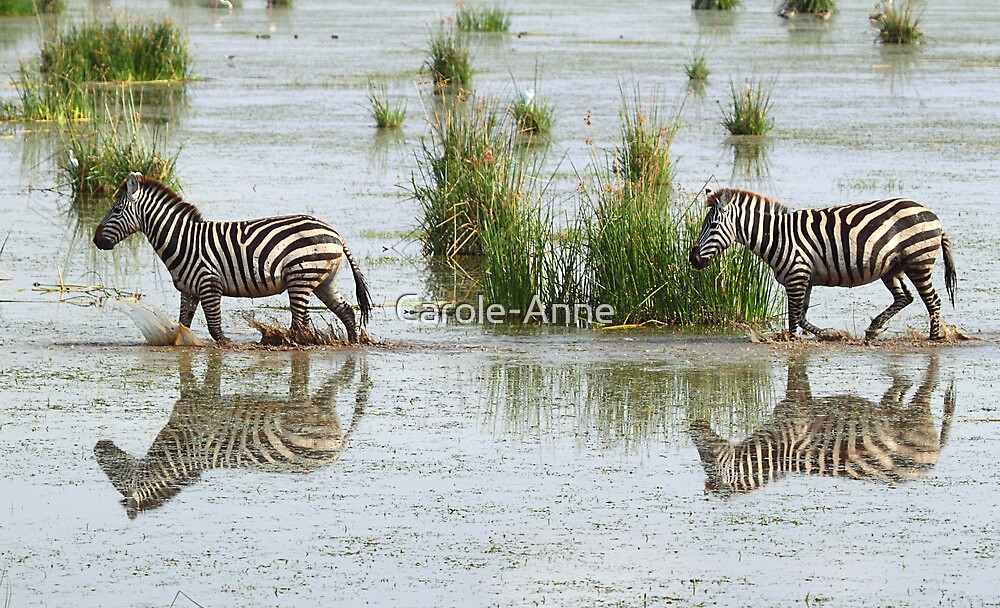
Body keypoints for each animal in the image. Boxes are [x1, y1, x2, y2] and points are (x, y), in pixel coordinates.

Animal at [93, 172, 373, 344]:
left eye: (116, 210)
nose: (96, 240)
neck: (182, 240)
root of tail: (335, 233)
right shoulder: (189, 290)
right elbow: (183, 326)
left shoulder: (209, 284)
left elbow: (215, 329)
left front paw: (226, 344)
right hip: (323, 281)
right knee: (346, 311)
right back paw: (352, 342)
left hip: (301, 278)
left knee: (300, 324)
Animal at [689, 187, 957, 340]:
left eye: (713, 226)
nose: (693, 259)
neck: (776, 236)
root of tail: (932, 214)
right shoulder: (803, 279)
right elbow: (801, 317)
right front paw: (828, 334)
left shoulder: (796, 277)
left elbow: (795, 319)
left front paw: (798, 339)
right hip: (891, 268)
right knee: (905, 297)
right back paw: (874, 328)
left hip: (918, 261)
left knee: (933, 301)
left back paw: (935, 337)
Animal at [689, 356, 955, 495]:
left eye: (707, 456)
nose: (694, 424)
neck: (777, 450)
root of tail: (930, 462)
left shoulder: (794, 413)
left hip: (917, 419)